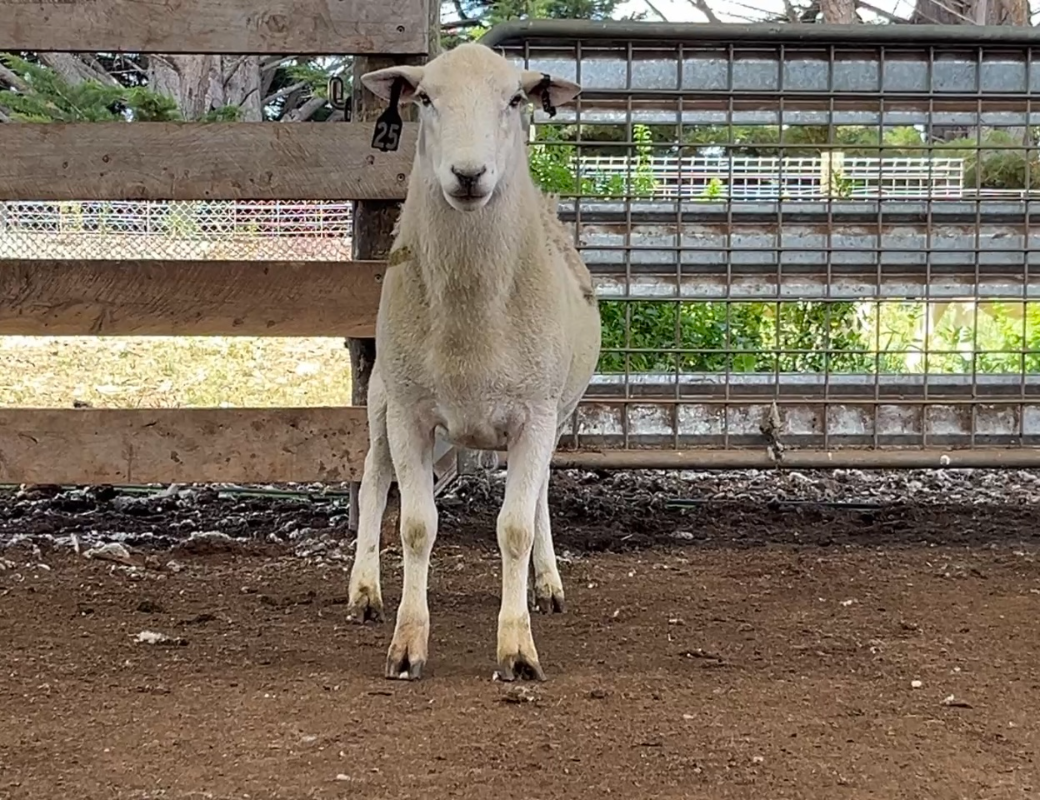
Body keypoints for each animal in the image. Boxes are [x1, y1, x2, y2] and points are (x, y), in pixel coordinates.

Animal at [345, 42, 602, 682]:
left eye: (514, 100)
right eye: (425, 98)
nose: (467, 175)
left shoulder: (536, 415)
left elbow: (514, 526)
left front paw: (517, 648)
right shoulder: (410, 412)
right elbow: (415, 525)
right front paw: (407, 644)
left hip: (555, 413)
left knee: (538, 495)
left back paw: (547, 584)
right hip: (383, 397)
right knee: (372, 482)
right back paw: (364, 592)